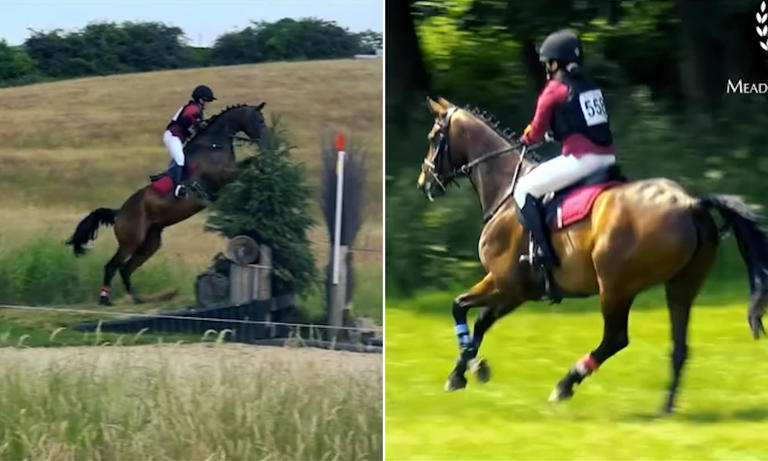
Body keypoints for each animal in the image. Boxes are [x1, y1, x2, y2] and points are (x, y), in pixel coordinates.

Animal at [66, 103, 268, 306]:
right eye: (259, 120)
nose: (265, 141)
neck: (213, 145)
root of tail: (119, 212)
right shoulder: (225, 175)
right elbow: (247, 167)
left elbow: (250, 164)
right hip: (130, 241)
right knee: (112, 266)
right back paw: (105, 299)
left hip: (150, 243)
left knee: (126, 268)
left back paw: (138, 299)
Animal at [416, 96, 768, 412]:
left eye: (434, 137)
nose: (424, 183)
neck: (505, 189)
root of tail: (690, 203)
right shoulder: (517, 291)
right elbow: (479, 323)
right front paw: (463, 372)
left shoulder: (504, 283)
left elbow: (459, 307)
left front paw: (472, 368)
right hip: (681, 286)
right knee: (679, 345)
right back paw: (666, 406)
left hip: (615, 287)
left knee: (616, 339)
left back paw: (565, 384)